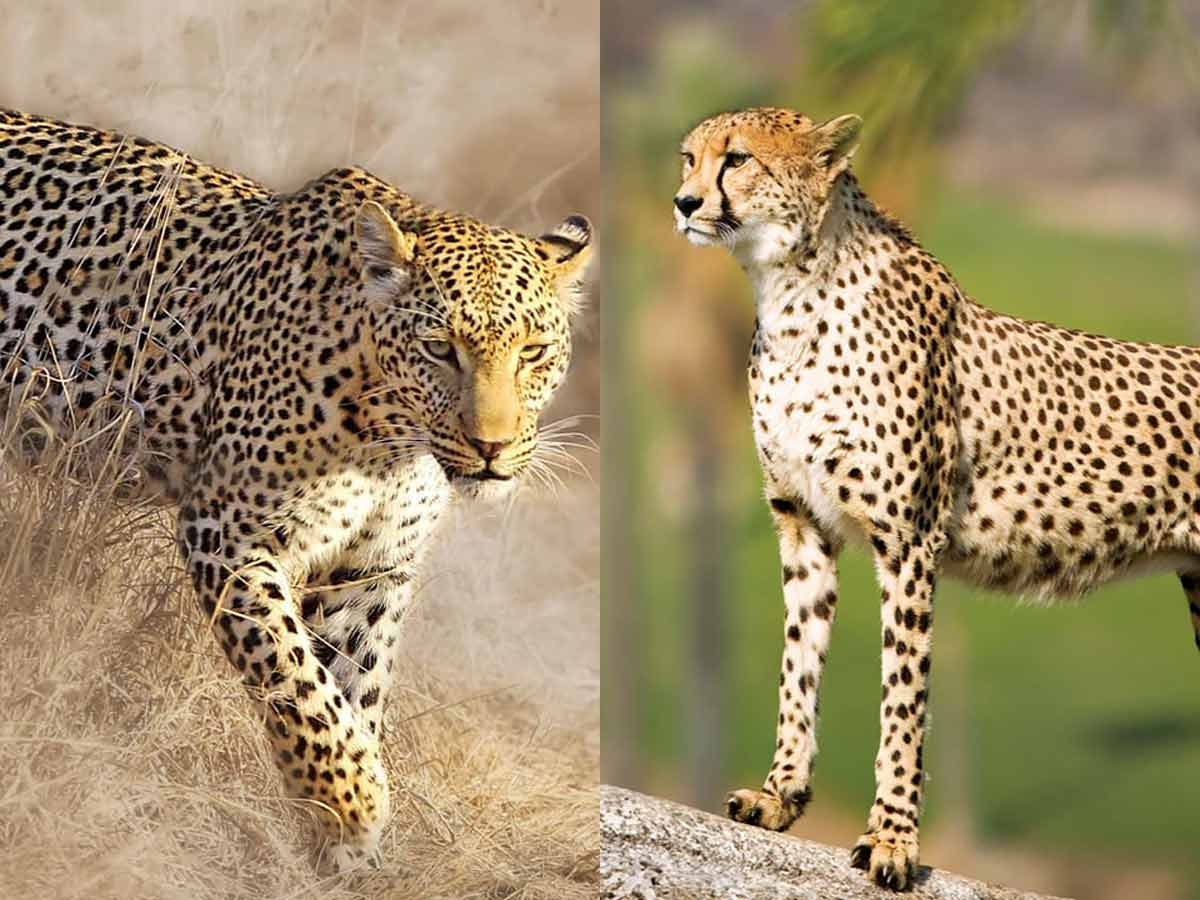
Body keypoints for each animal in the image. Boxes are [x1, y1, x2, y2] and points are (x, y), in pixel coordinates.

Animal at [0, 109, 593, 870]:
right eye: (440, 349)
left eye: (532, 352)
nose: (492, 446)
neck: (390, 441)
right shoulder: (229, 531)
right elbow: (294, 676)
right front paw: (356, 801)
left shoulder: (372, 570)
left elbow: (353, 683)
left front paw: (344, 850)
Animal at [673, 106, 1200, 891]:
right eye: (689, 158)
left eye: (736, 160)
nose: (684, 202)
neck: (791, 292)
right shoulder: (802, 528)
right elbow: (798, 667)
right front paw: (780, 795)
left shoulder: (909, 541)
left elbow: (903, 696)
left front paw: (892, 841)